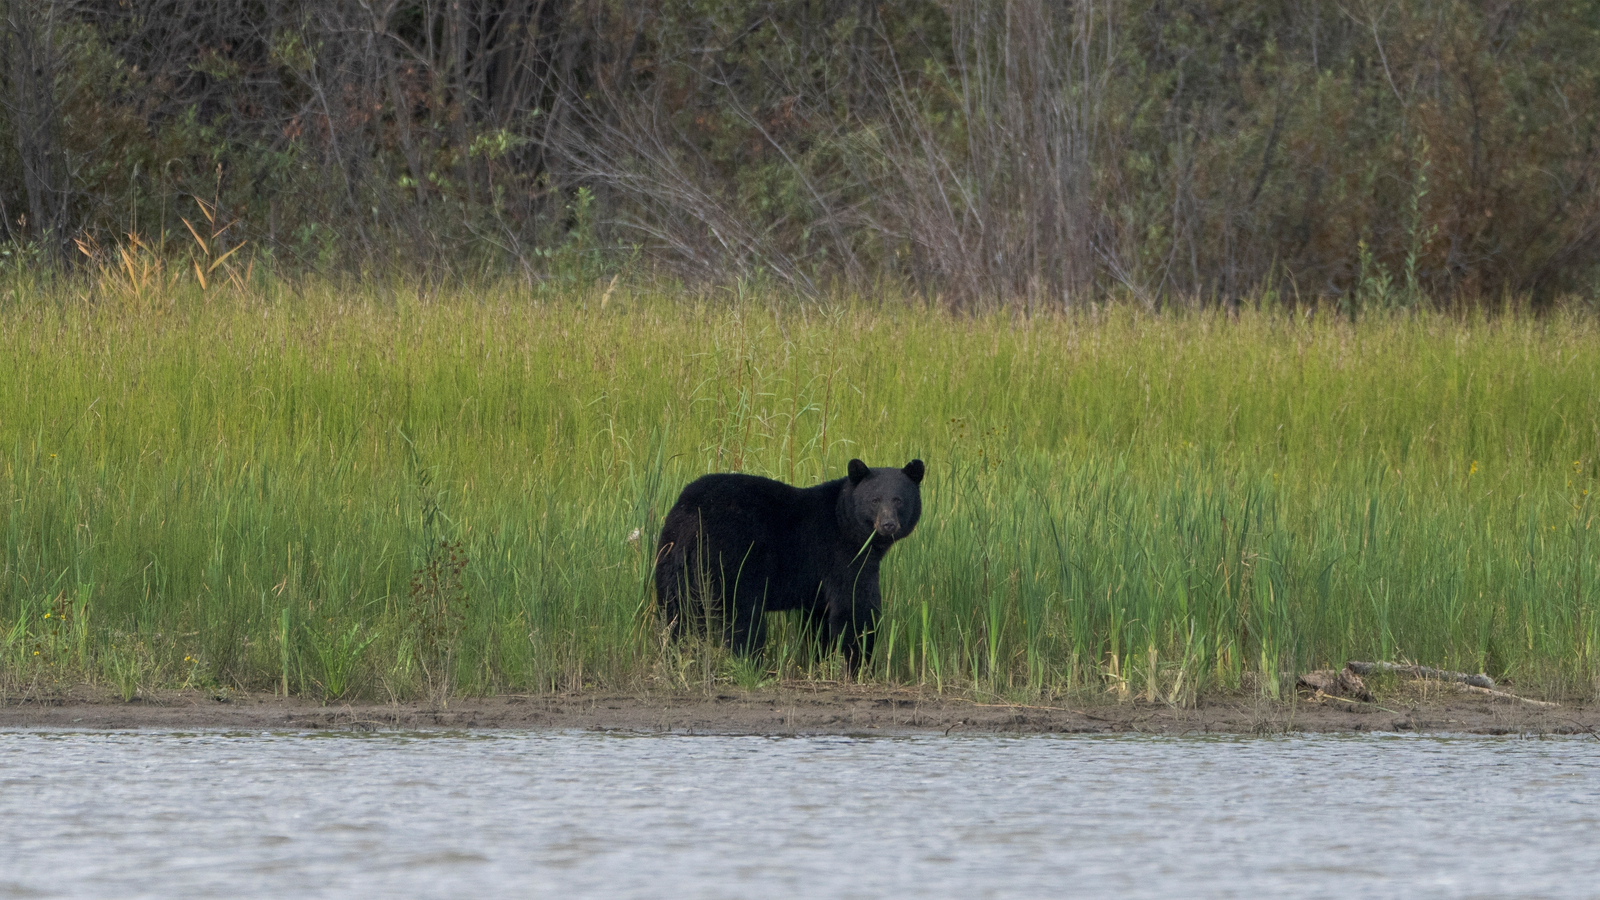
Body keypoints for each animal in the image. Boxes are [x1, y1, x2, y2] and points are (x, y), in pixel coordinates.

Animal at [653, 458, 925, 675]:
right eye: (875, 500)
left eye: (899, 500)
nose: (888, 524)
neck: (844, 521)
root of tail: (692, 514)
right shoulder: (842, 556)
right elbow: (855, 609)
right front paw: (860, 667)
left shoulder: (818, 585)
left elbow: (819, 621)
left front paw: (820, 661)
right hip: (730, 562)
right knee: (743, 619)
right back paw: (752, 666)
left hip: (671, 559)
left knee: (675, 615)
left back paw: (674, 658)